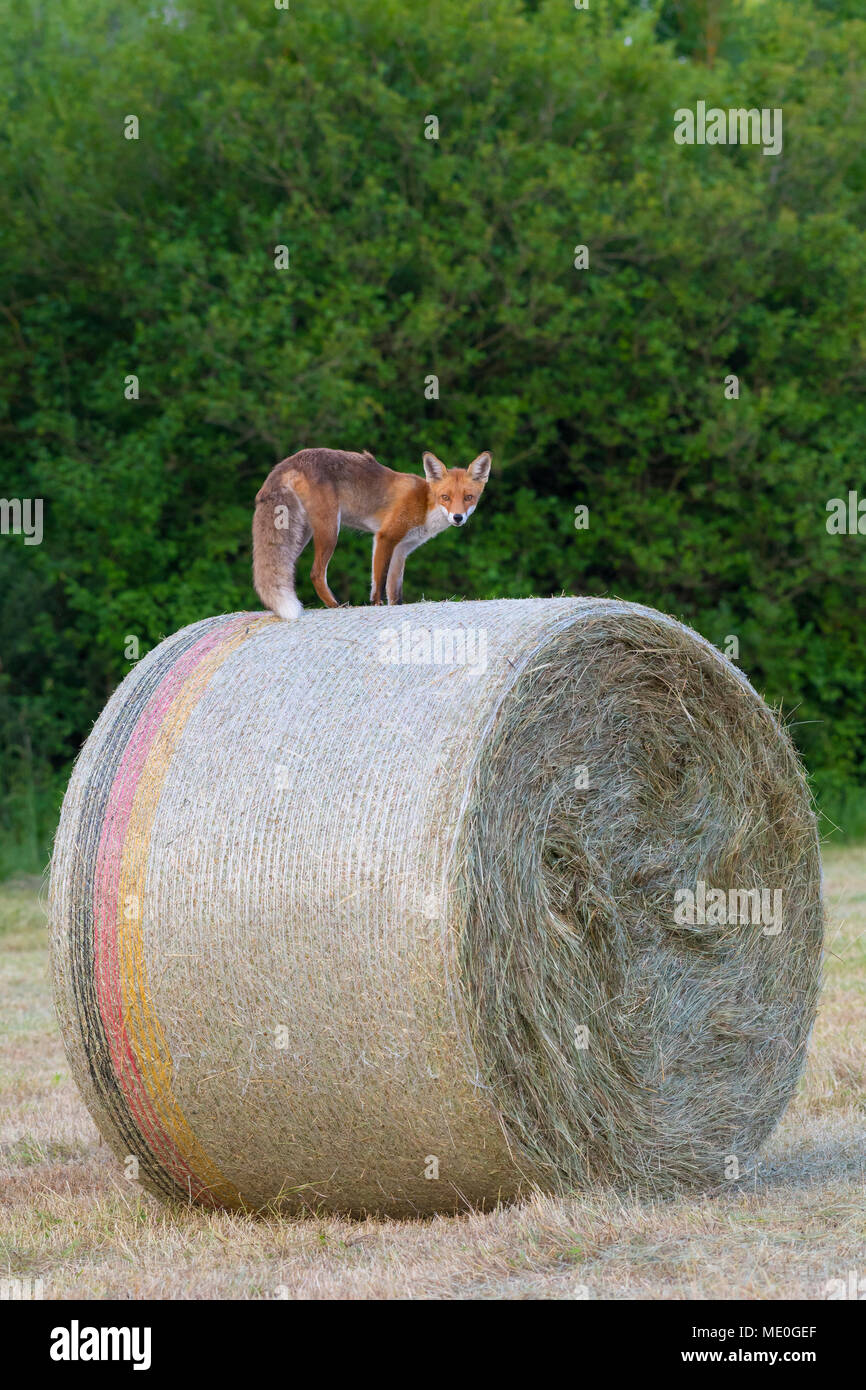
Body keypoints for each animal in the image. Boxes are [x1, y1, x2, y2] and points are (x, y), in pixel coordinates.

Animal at [252, 447, 492, 620]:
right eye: (446, 497)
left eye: (468, 497)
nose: (458, 518)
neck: (425, 504)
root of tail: (291, 460)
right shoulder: (385, 537)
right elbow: (378, 583)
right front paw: (375, 606)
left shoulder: (402, 550)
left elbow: (395, 592)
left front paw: (395, 606)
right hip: (330, 530)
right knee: (315, 573)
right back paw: (336, 606)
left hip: (301, 535)